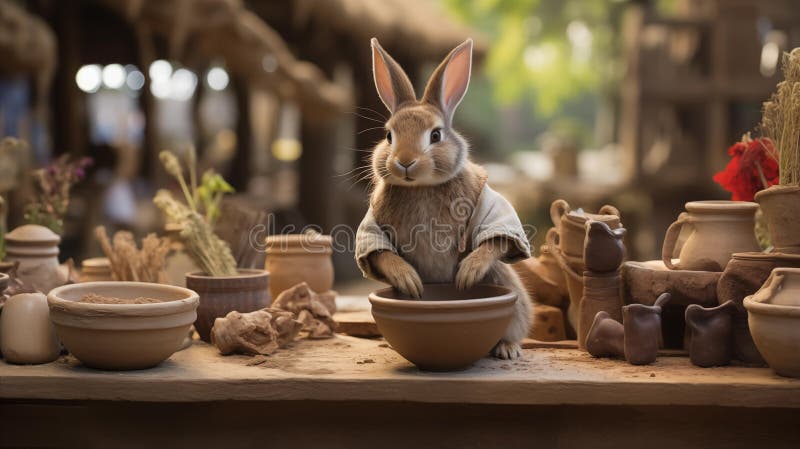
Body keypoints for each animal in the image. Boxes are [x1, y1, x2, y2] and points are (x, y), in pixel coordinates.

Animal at [355, 38, 532, 359]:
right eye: (389, 136)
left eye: (435, 135)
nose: (405, 162)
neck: (421, 187)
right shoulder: (373, 223)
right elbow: (379, 251)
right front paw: (408, 280)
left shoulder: (485, 200)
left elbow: (496, 237)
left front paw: (468, 273)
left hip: (507, 290)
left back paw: (507, 348)